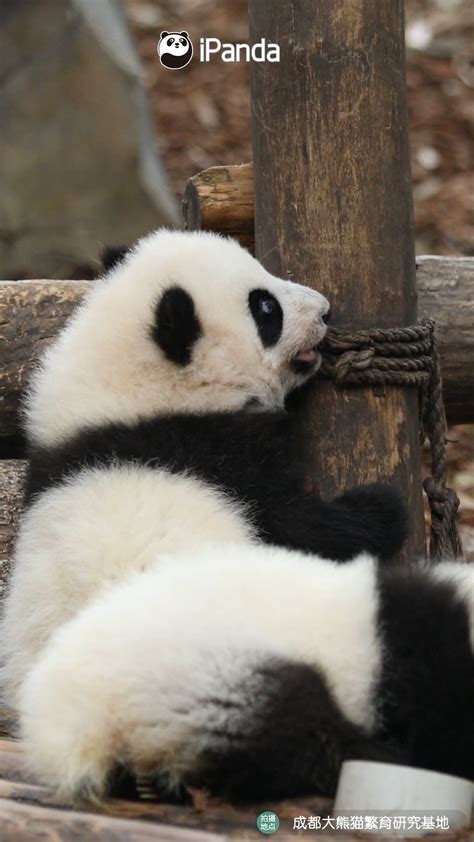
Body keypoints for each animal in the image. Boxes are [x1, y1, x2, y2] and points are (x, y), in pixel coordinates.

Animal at [1, 230, 471, 803]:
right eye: (265, 308)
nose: (325, 310)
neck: (131, 406)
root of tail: (73, 733)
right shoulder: (220, 459)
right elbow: (305, 526)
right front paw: (382, 506)